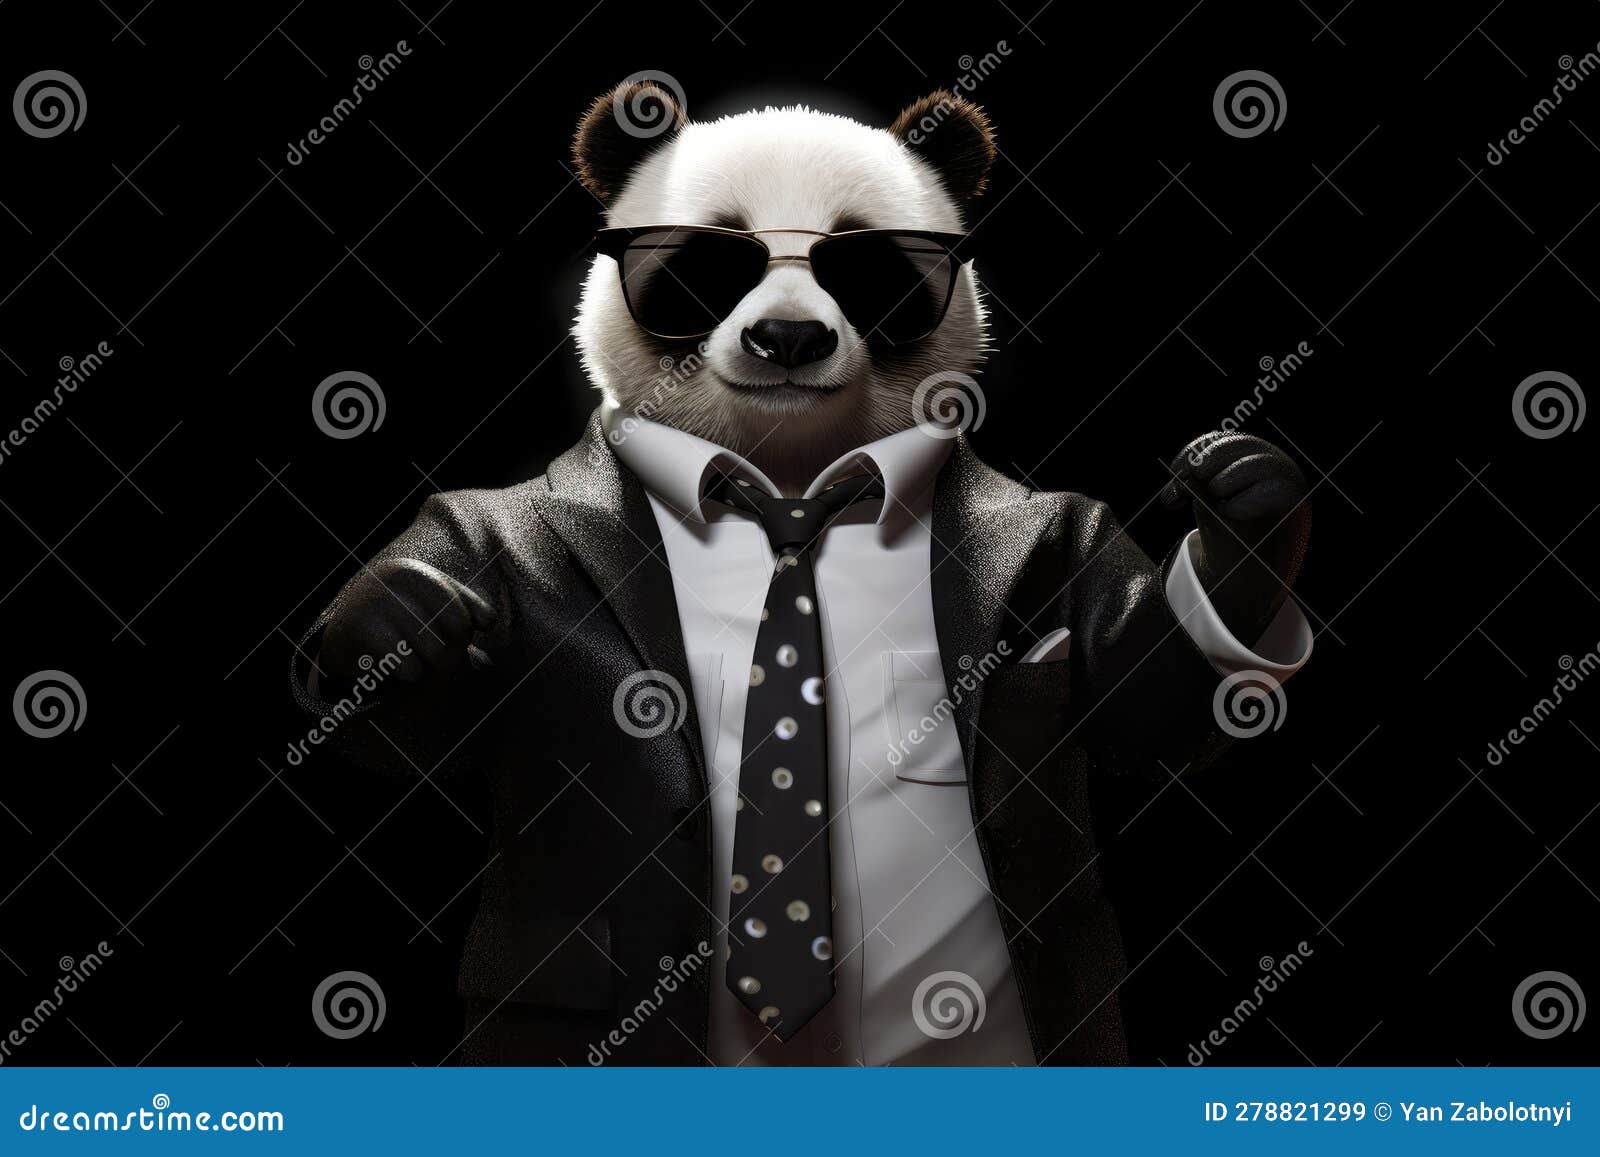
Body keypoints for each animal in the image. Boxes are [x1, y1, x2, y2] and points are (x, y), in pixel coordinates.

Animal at [295, 80, 1315, 1066]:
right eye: (709, 265)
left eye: (868, 271)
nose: (787, 339)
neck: (786, 482)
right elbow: (413, 729)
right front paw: (397, 624)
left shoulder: (1069, 535)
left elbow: (1147, 699)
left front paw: (1242, 509)